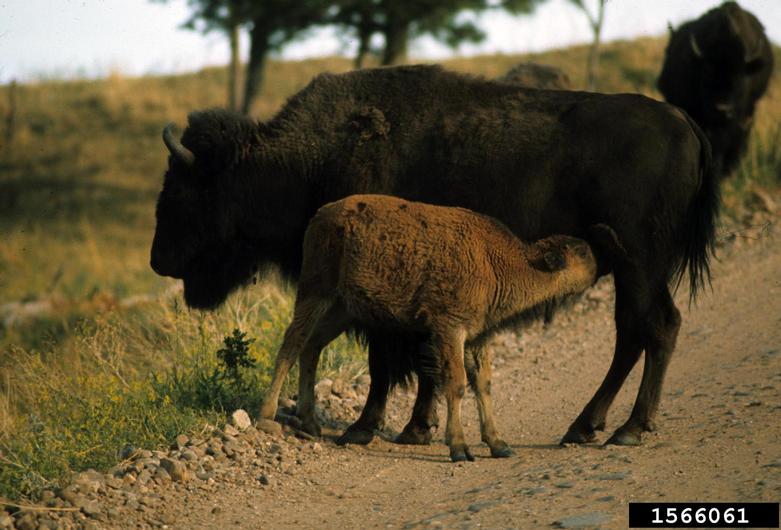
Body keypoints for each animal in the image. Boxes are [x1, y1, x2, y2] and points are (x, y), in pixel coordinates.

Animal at [151, 64, 719, 448]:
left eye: (184, 191)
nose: (160, 261)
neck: (309, 157)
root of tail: (684, 123)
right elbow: (427, 363)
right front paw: (416, 429)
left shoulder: (382, 297)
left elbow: (387, 362)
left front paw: (366, 429)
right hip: (637, 270)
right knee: (645, 329)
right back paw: (596, 426)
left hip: (639, 265)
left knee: (648, 328)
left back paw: (621, 429)